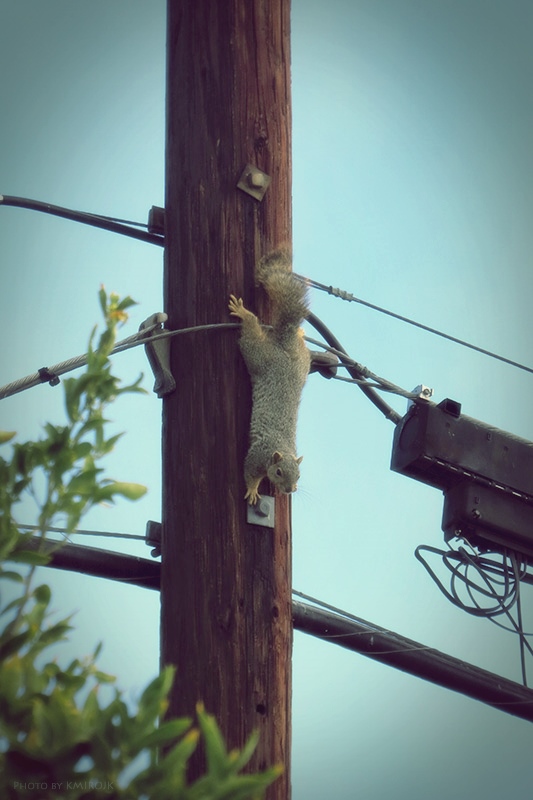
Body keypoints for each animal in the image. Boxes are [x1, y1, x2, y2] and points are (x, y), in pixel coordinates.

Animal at [229, 249, 311, 505]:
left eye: (299, 474)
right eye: (279, 472)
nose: (291, 490)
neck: (282, 448)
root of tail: (286, 344)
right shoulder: (256, 456)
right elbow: (249, 474)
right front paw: (253, 490)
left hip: (303, 363)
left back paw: (300, 332)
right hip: (257, 355)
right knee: (251, 331)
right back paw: (244, 313)